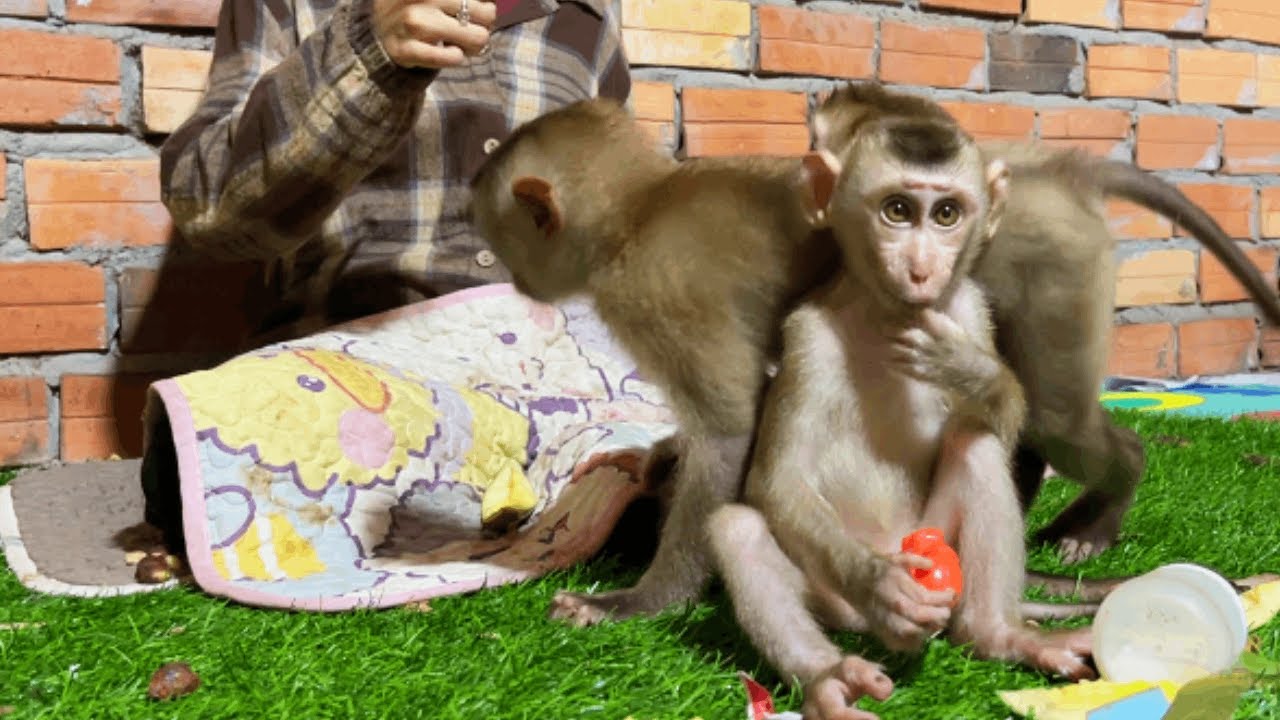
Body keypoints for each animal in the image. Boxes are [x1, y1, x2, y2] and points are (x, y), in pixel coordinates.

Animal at [468, 98, 840, 625]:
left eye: (510, 251)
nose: (519, 285)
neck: (638, 215)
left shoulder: (652, 294)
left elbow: (727, 431)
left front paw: (649, 599)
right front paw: (667, 451)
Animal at [706, 107, 1097, 720]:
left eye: (946, 214)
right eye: (896, 210)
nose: (920, 268)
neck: (887, 315)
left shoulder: (969, 309)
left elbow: (1001, 429)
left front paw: (969, 370)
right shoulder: (808, 338)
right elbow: (776, 481)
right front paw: (880, 587)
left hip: (932, 537)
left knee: (976, 444)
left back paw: (999, 635)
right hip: (834, 601)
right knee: (738, 528)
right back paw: (828, 677)